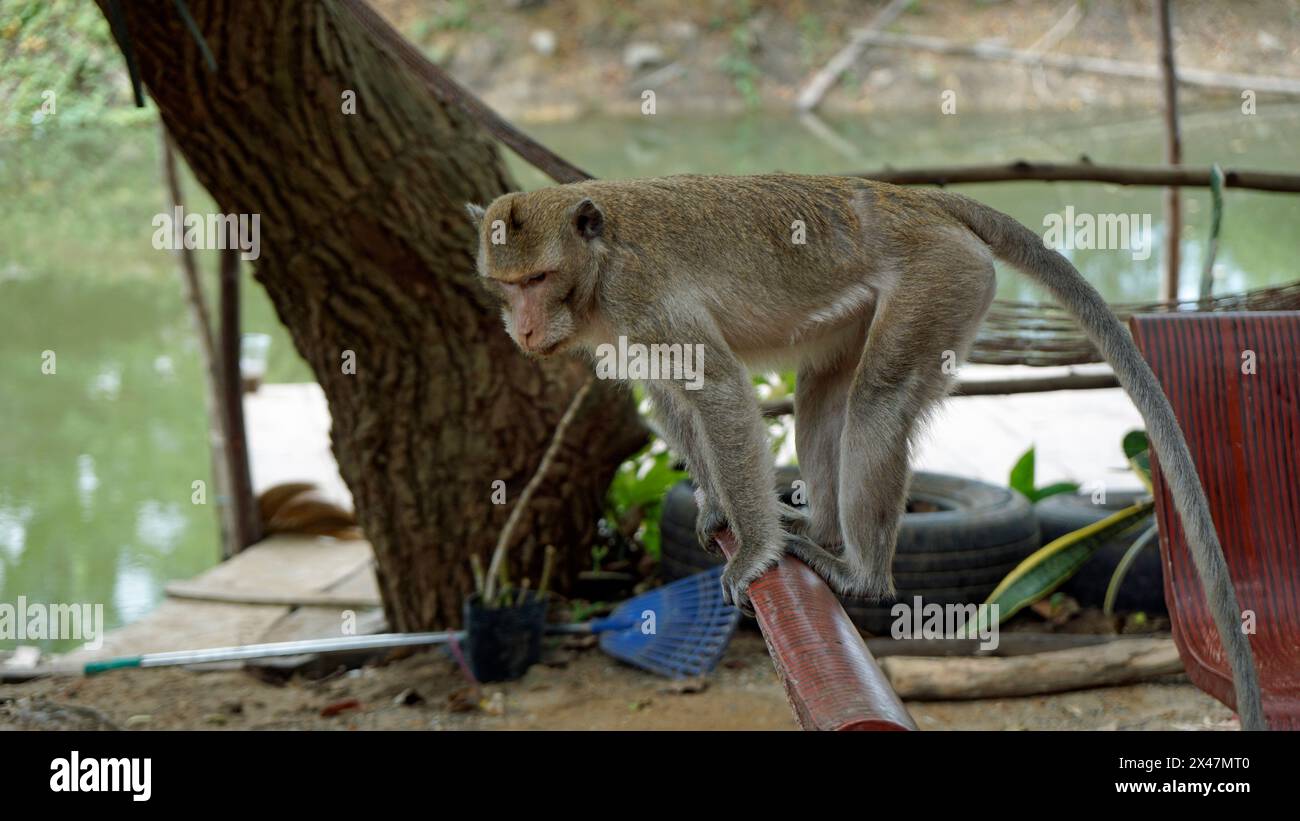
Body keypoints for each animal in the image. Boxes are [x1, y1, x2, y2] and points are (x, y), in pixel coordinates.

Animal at [466, 173, 1266, 730]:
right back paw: (820, 532)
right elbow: (674, 400)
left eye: (539, 278)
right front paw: (718, 508)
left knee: (876, 399)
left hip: (940, 280)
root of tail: (915, 199)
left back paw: (858, 574)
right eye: (507, 285)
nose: (524, 328)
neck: (597, 268)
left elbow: (716, 389)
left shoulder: (642, 298)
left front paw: (753, 551)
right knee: (823, 389)